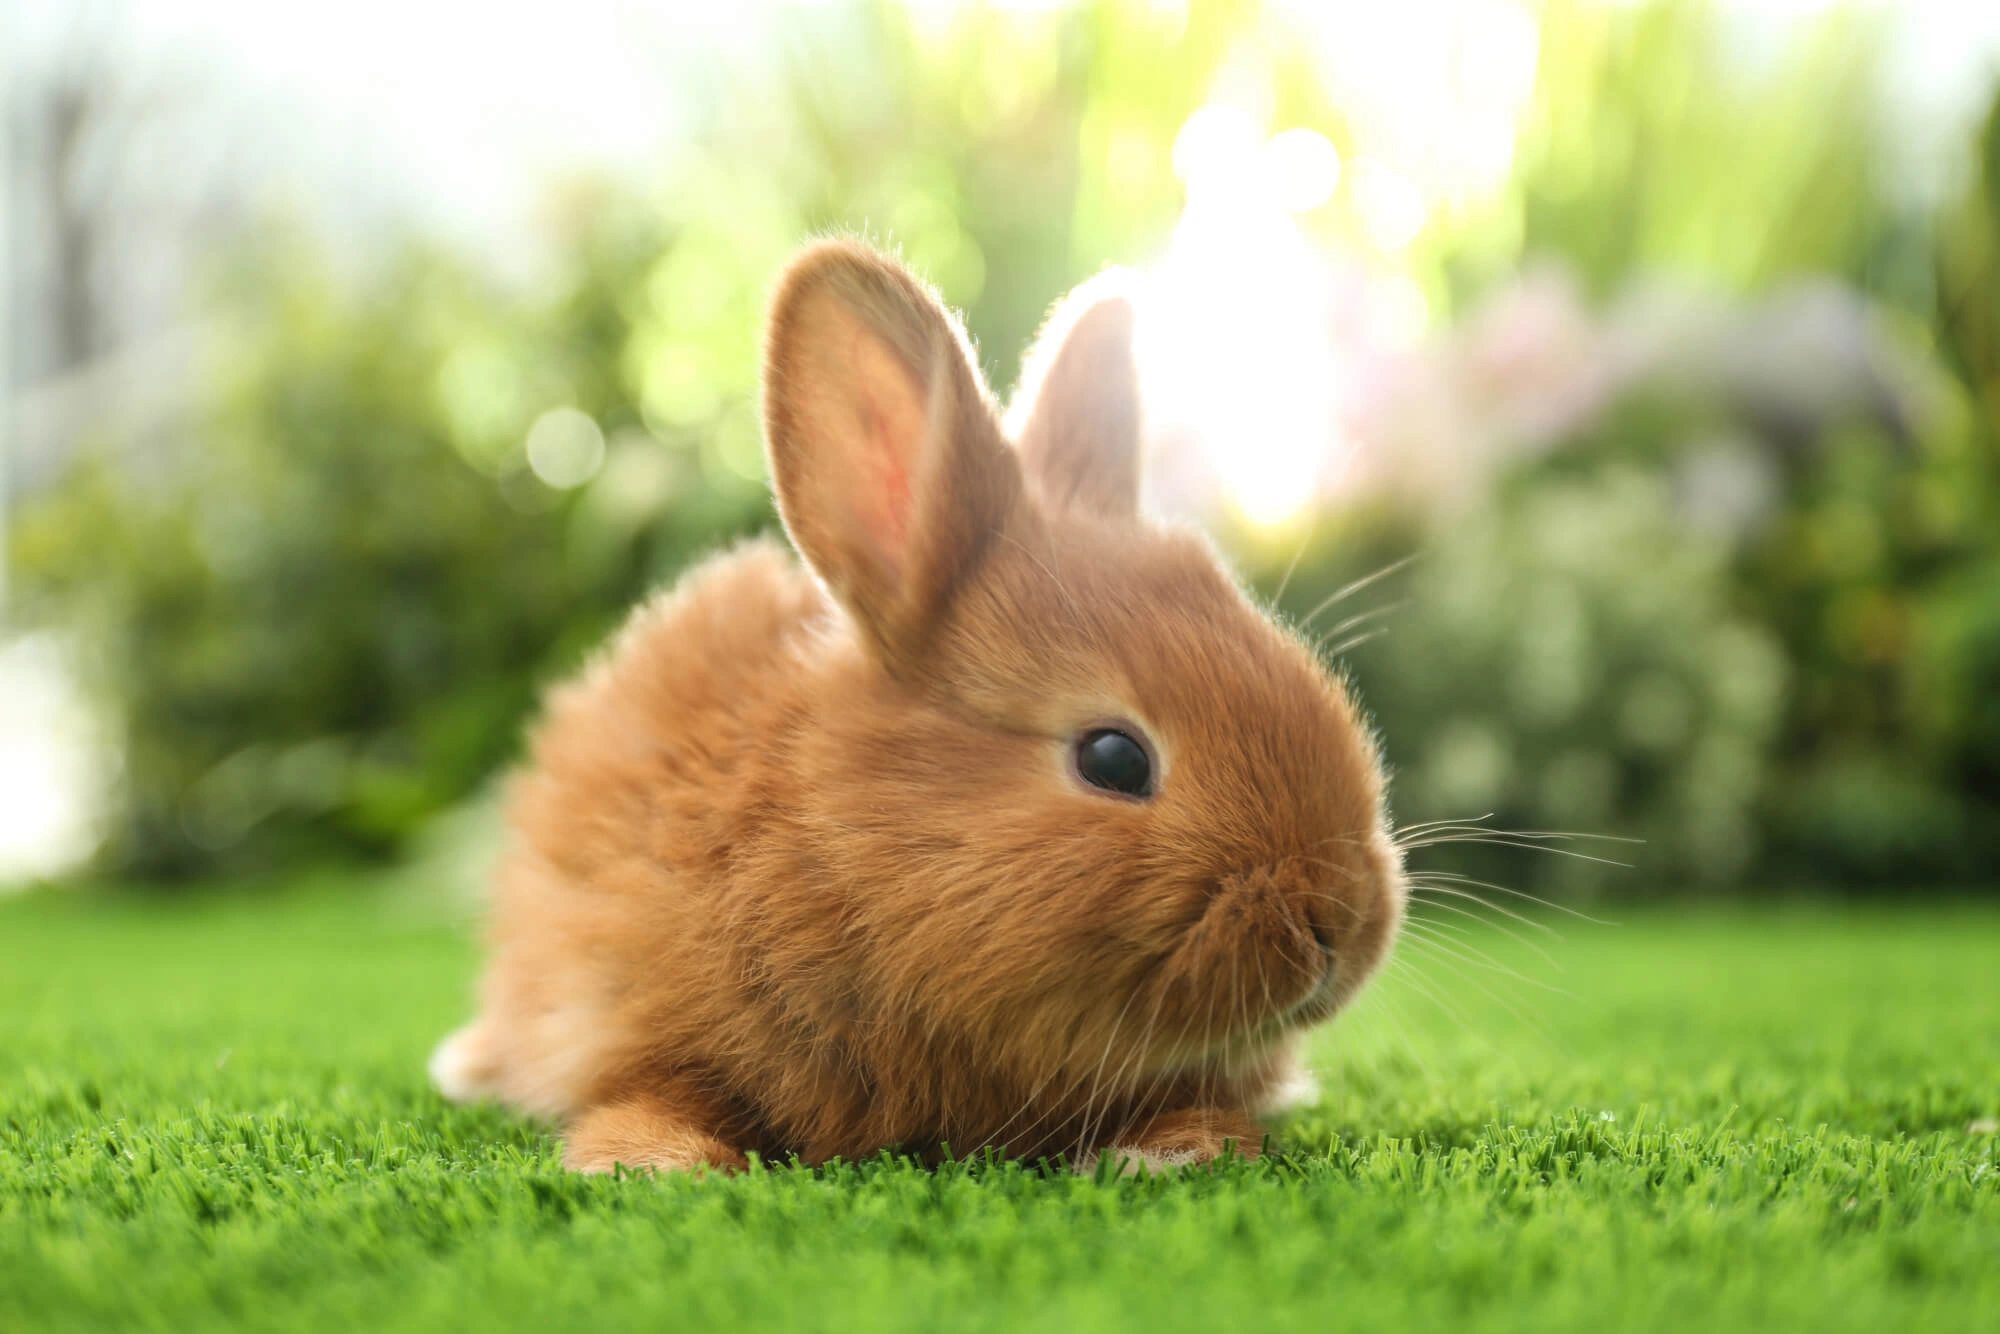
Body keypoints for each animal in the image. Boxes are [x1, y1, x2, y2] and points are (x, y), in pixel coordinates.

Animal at [429, 238, 1405, 1174]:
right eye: (1113, 758)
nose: (1341, 919)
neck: (833, 848)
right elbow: (648, 1089)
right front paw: (654, 1165)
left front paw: (1175, 1151)